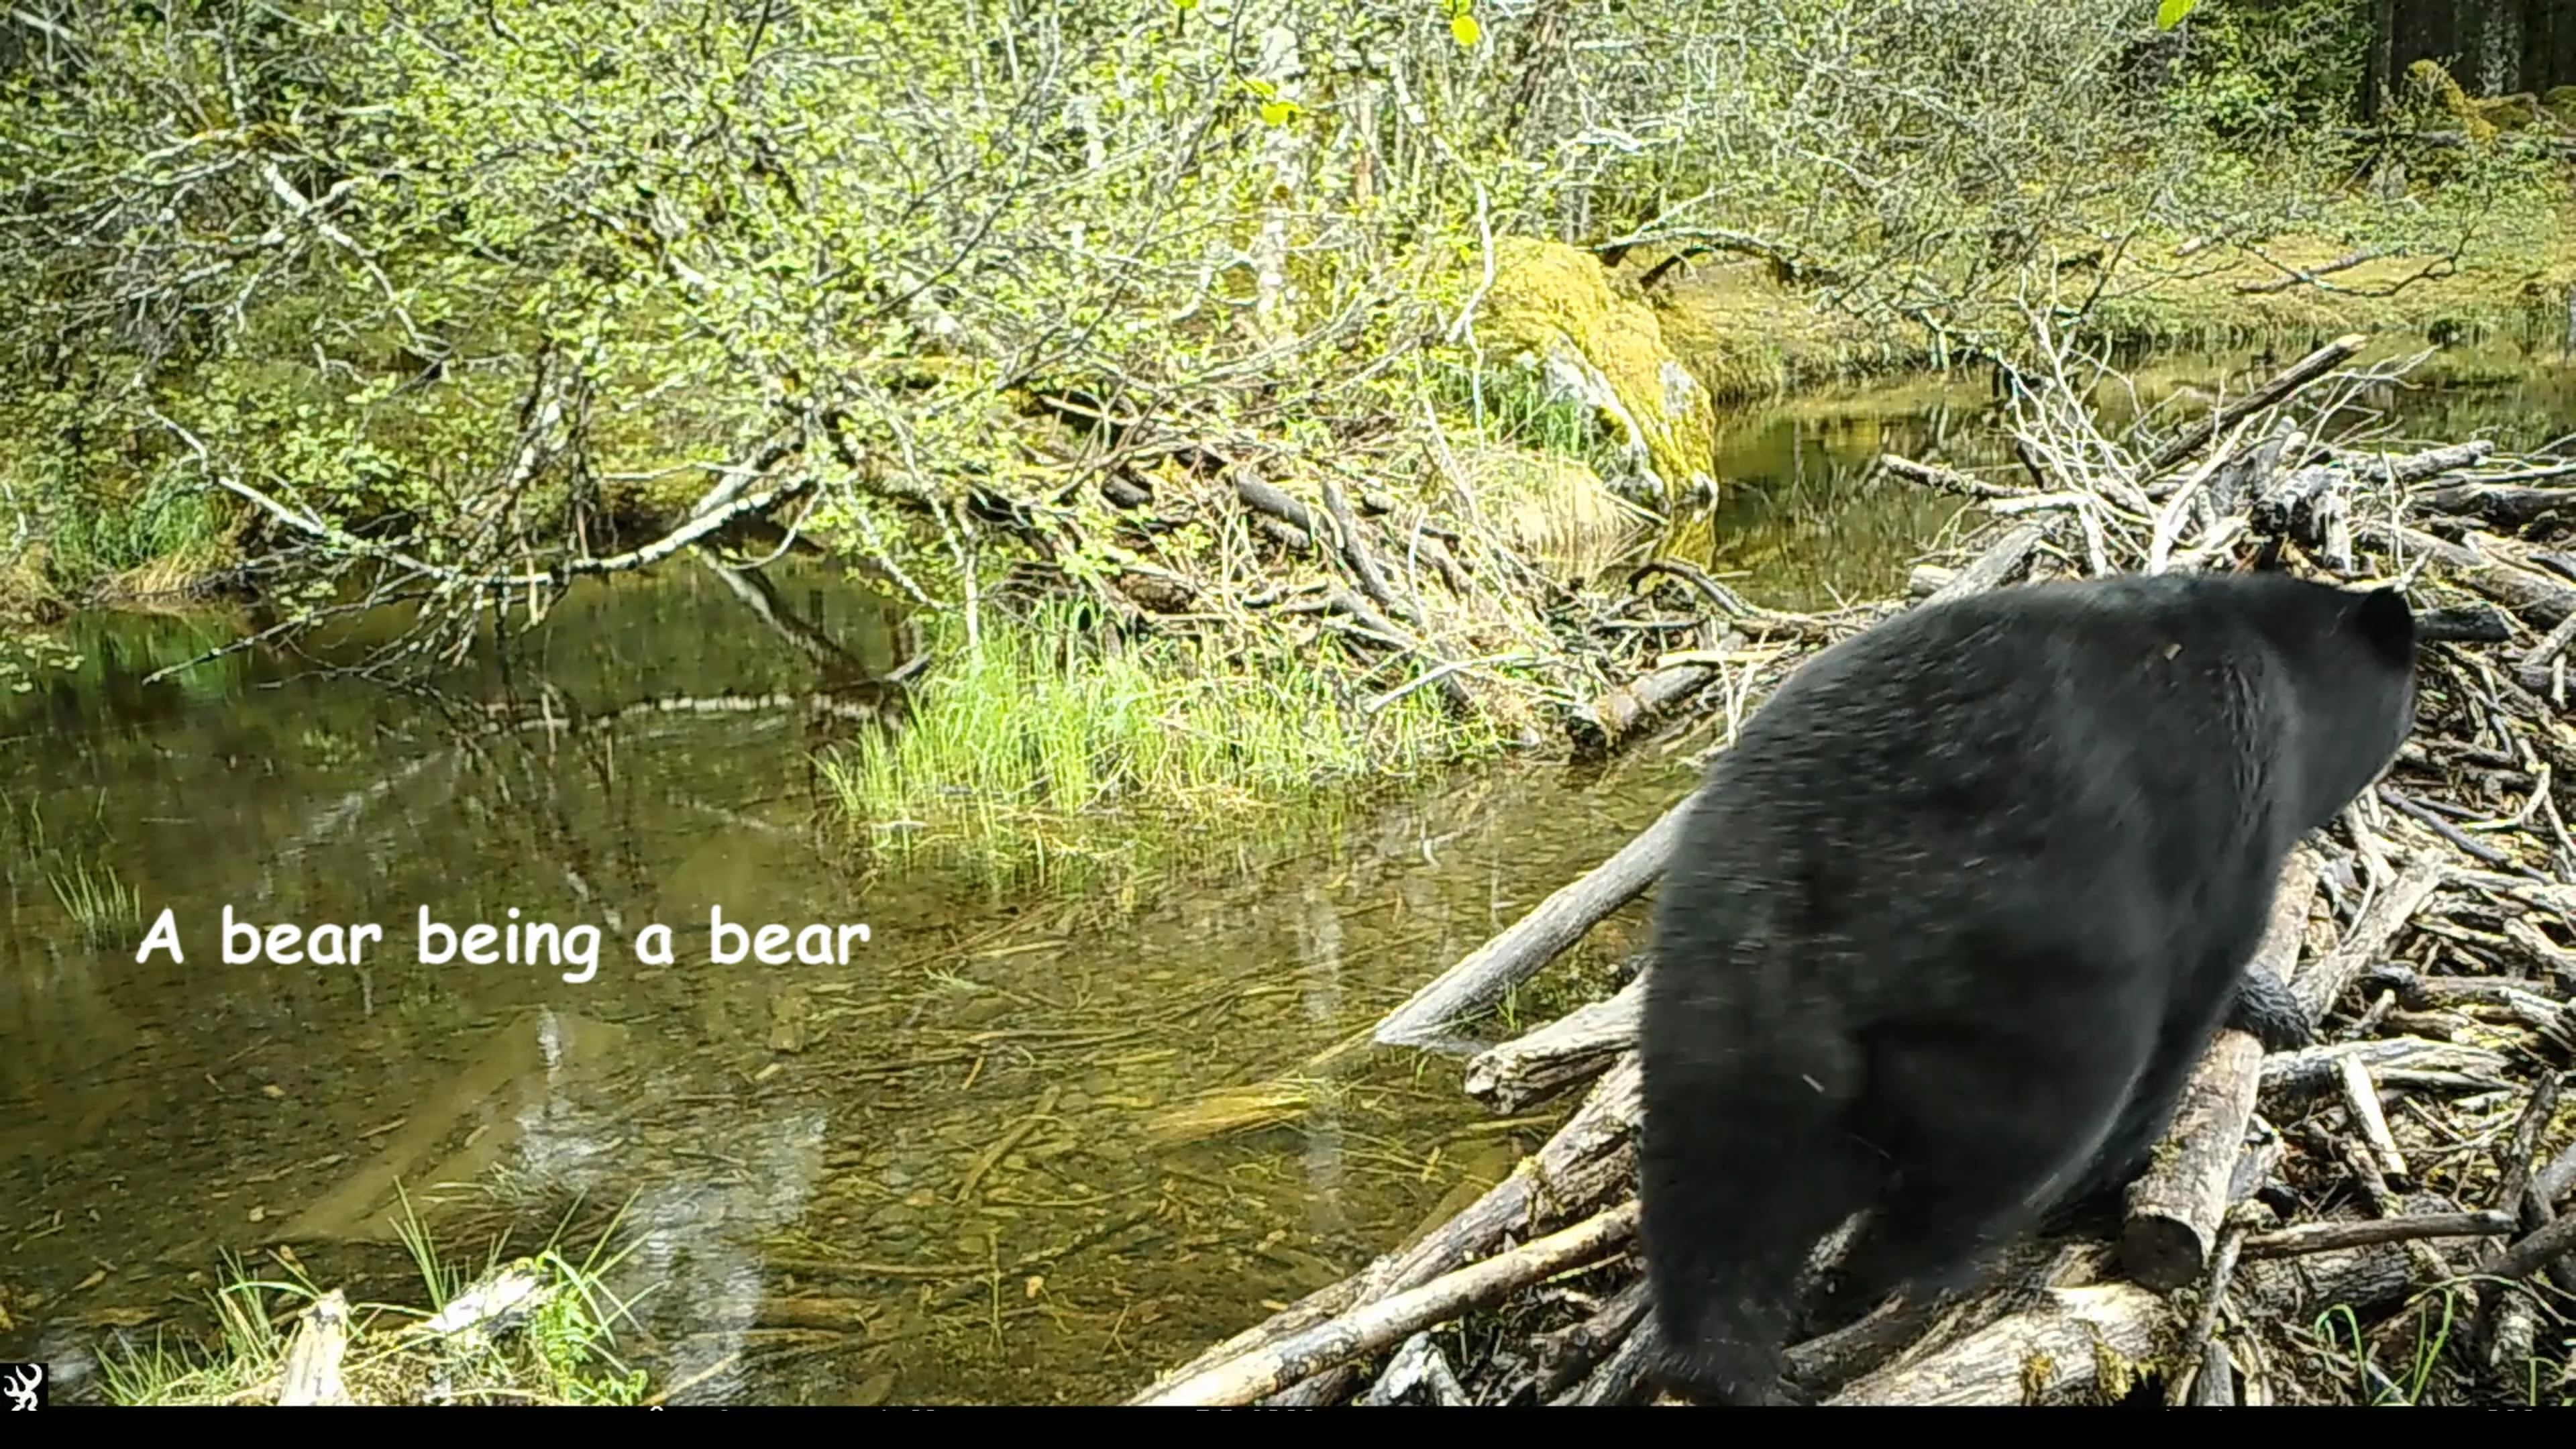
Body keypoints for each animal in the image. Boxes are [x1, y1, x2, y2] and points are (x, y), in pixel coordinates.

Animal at [1637, 570, 2417, 1406]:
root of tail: (1822, 918)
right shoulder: (2235, 822)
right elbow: (2191, 1006)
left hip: (1713, 1018)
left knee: (1714, 1209)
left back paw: (1735, 1365)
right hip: (2035, 1005)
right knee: (1985, 1167)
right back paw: (1893, 1281)